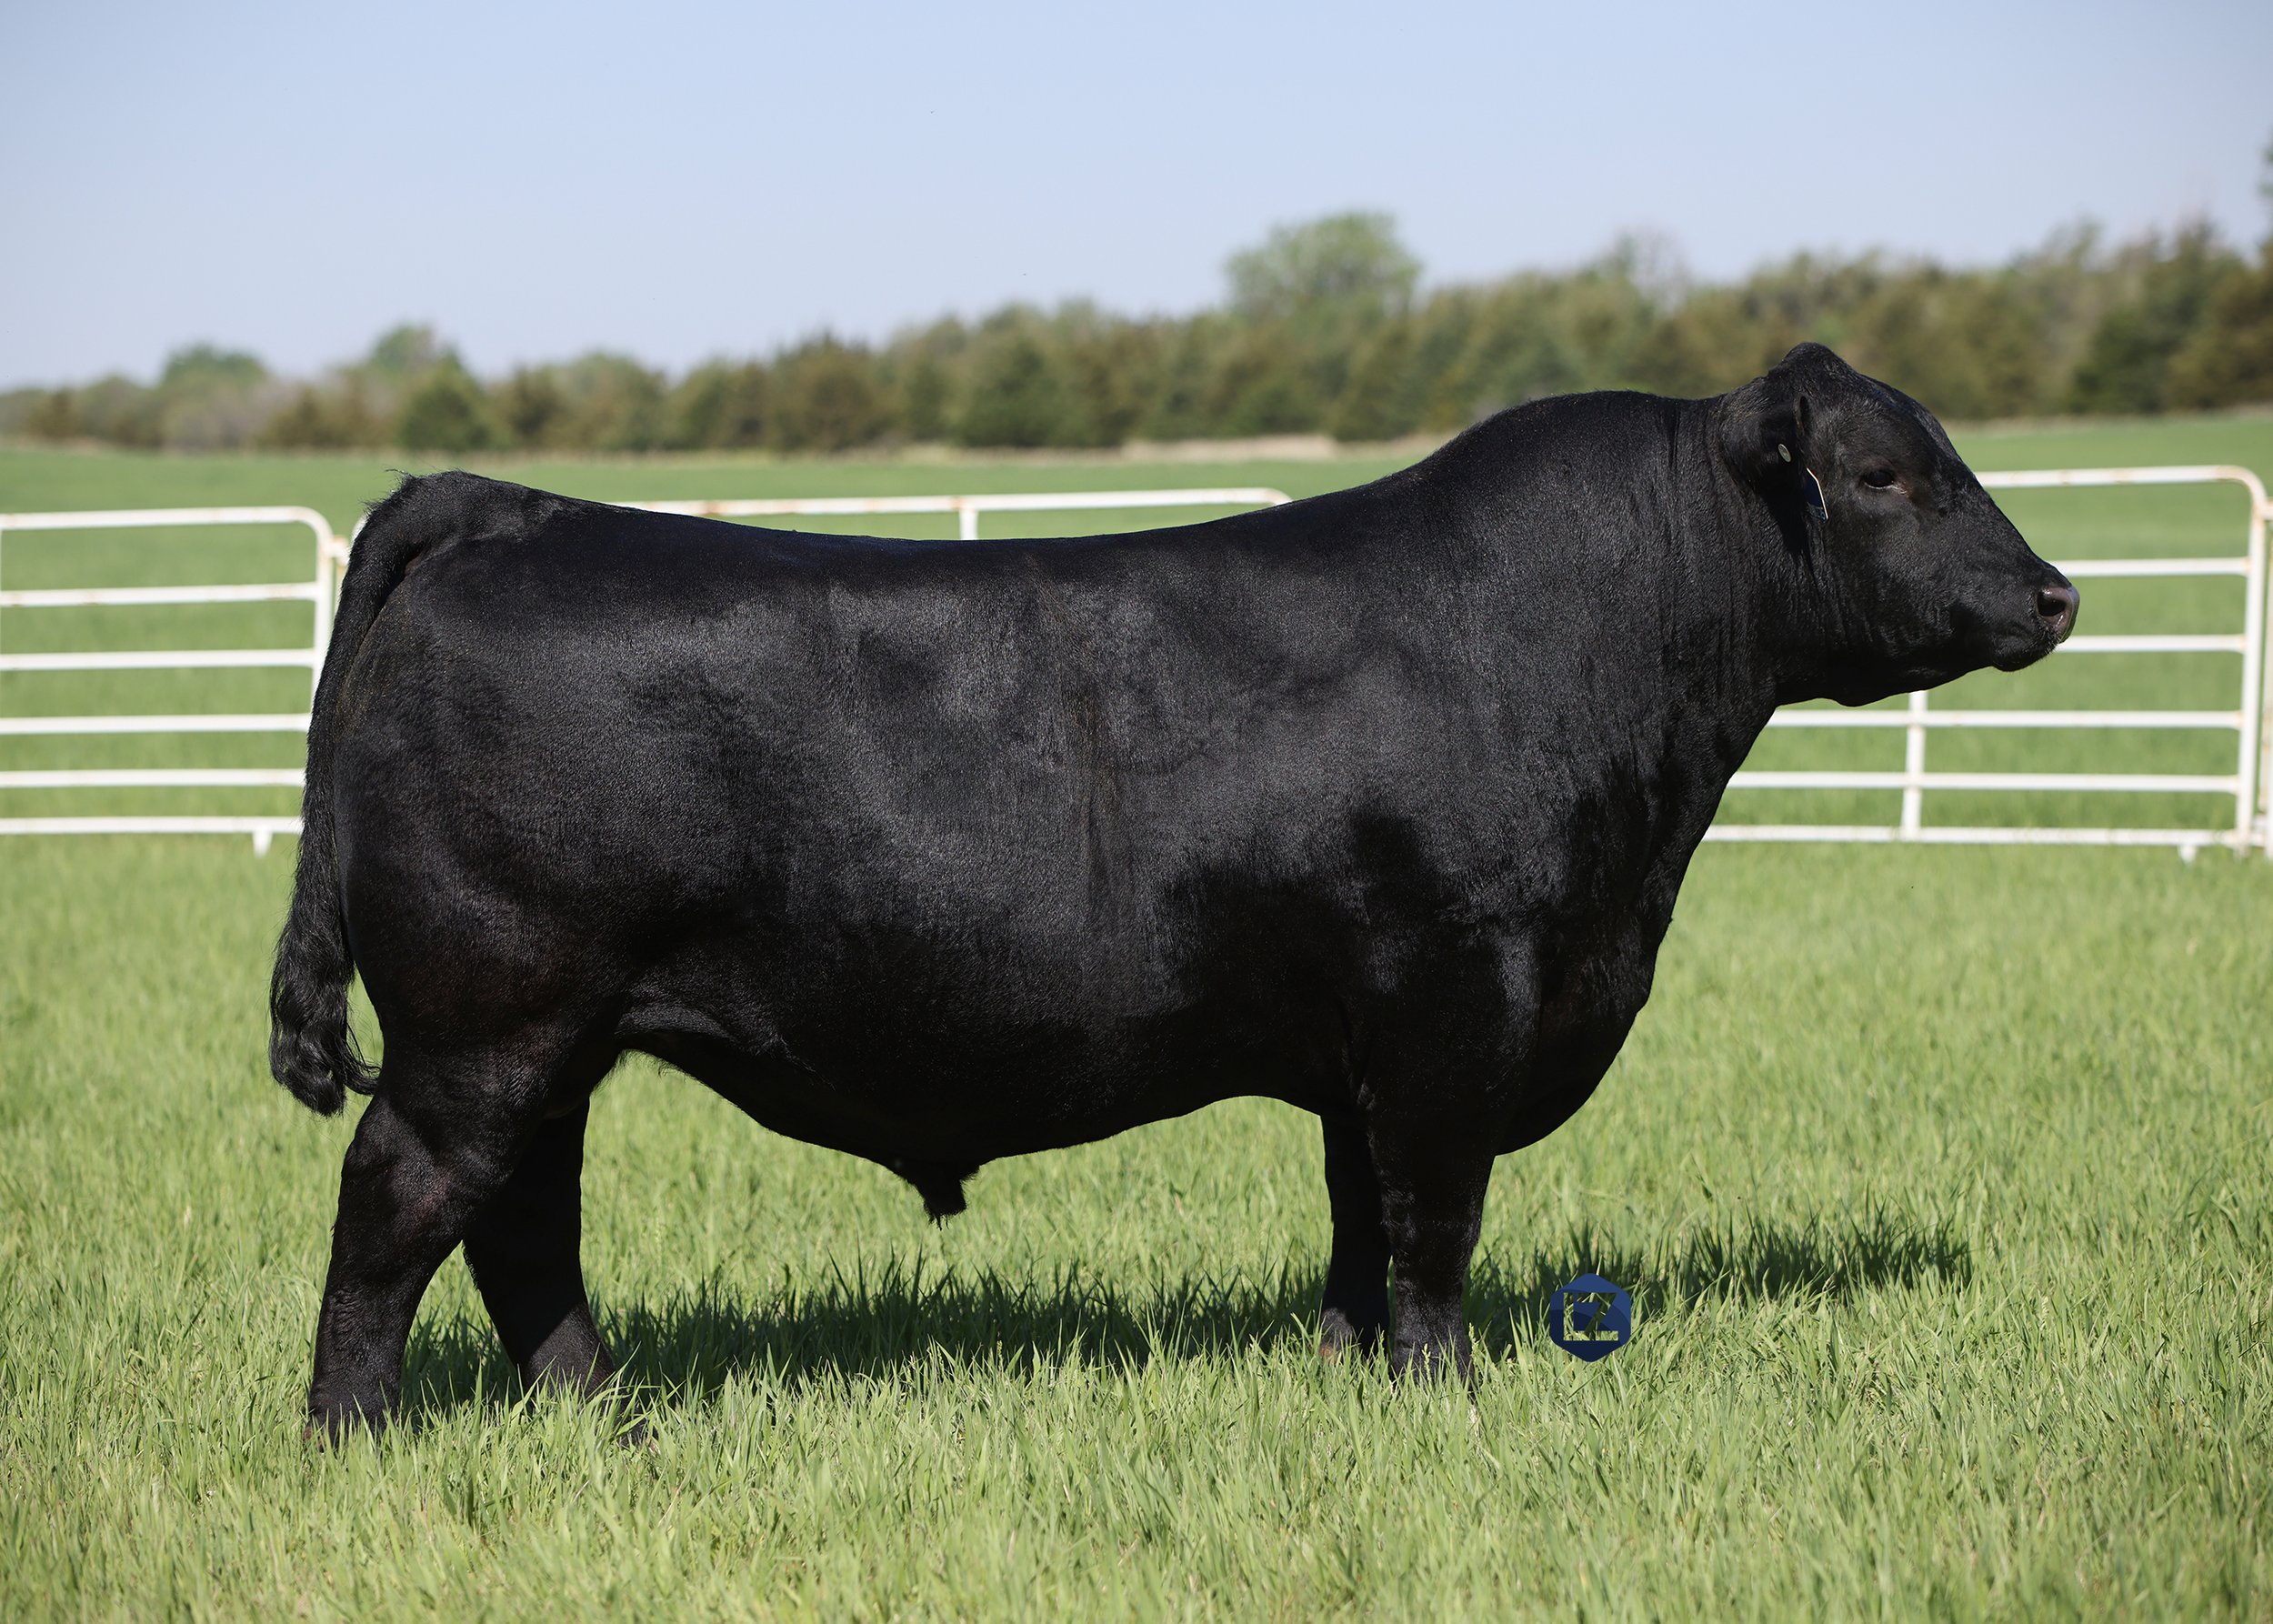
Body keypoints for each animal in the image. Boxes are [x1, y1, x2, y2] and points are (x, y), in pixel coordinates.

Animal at [270, 342, 2077, 1435]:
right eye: (1885, 474)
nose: (2057, 592)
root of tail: (510, 510)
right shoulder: (1454, 1009)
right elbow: (1436, 1220)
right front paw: (1445, 1394)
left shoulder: (1367, 1040)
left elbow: (1359, 1219)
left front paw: (1350, 1372)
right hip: (488, 1019)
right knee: (403, 1198)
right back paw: (360, 1434)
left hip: (549, 1036)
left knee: (524, 1222)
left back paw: (605, 1411)